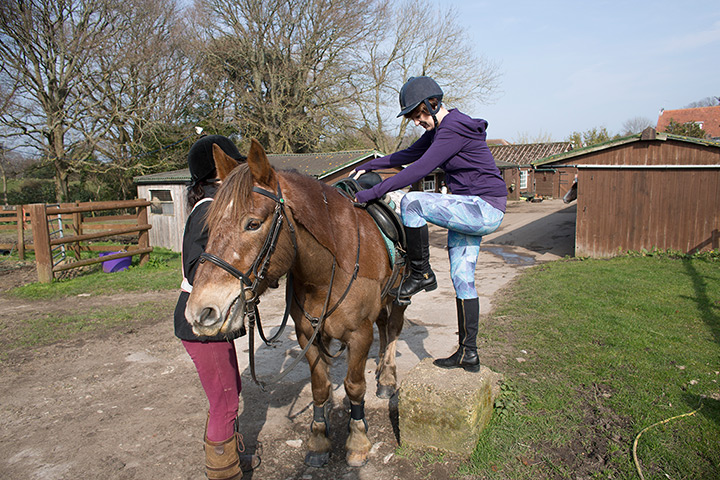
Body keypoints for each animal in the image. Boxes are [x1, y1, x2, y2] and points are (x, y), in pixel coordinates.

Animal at [184, 138, 408, 468]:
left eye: (253, 224)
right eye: (209, 226)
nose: (201, 312)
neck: (330, 268)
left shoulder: (359, 335)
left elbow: (354, 387)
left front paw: (358, 440)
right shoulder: (308, 334)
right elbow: (320, 388)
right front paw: (318, 440)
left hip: (400, 296)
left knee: (392, 328)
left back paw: (388, 378)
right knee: (383, 324)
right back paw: (380, 371)